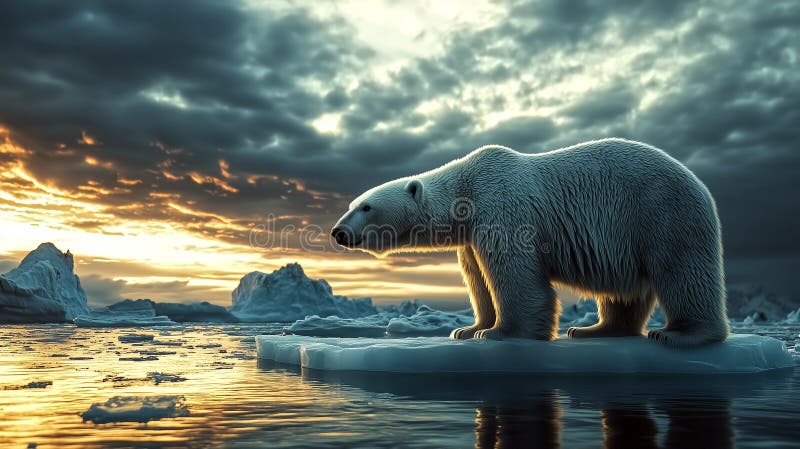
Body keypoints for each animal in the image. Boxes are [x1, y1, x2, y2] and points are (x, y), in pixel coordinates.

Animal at [331, 138, 729, 347]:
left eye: (366, 206)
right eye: (352, 204)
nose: (338, 232)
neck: (466, 189)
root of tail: (700, 185)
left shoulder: (502, 204)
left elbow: (515, 276)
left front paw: (497, 333)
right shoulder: (470, 236)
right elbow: (478, 279)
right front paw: (467, 328)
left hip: (660, 211)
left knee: (683, 270)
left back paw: (680, 334)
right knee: (622, 291)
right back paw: (593, 329)